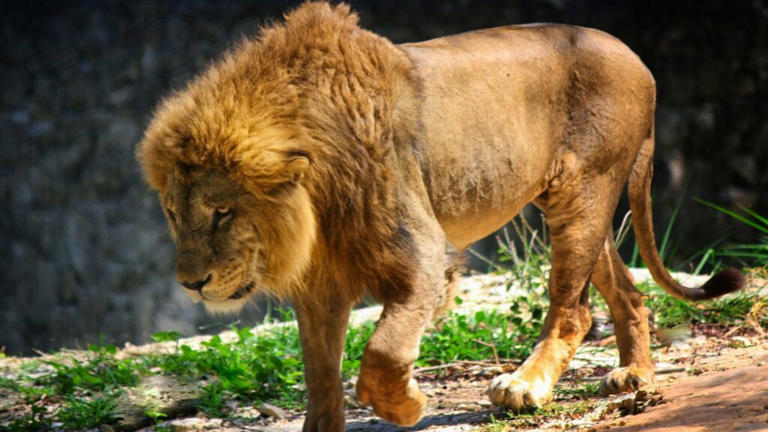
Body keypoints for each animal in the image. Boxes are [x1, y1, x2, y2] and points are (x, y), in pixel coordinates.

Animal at [137, 3, 744, 431]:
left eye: (222, 213)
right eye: (172, 213)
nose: (190, 283)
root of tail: (636, 57)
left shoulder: (424, 257)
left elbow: (382, 353)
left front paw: (406, 407)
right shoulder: (319, 283)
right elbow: (320, 376)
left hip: (584, 191)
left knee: (572, 310)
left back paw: (525, 386)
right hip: (571, 204)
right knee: (628, 292)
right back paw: (635, 374)